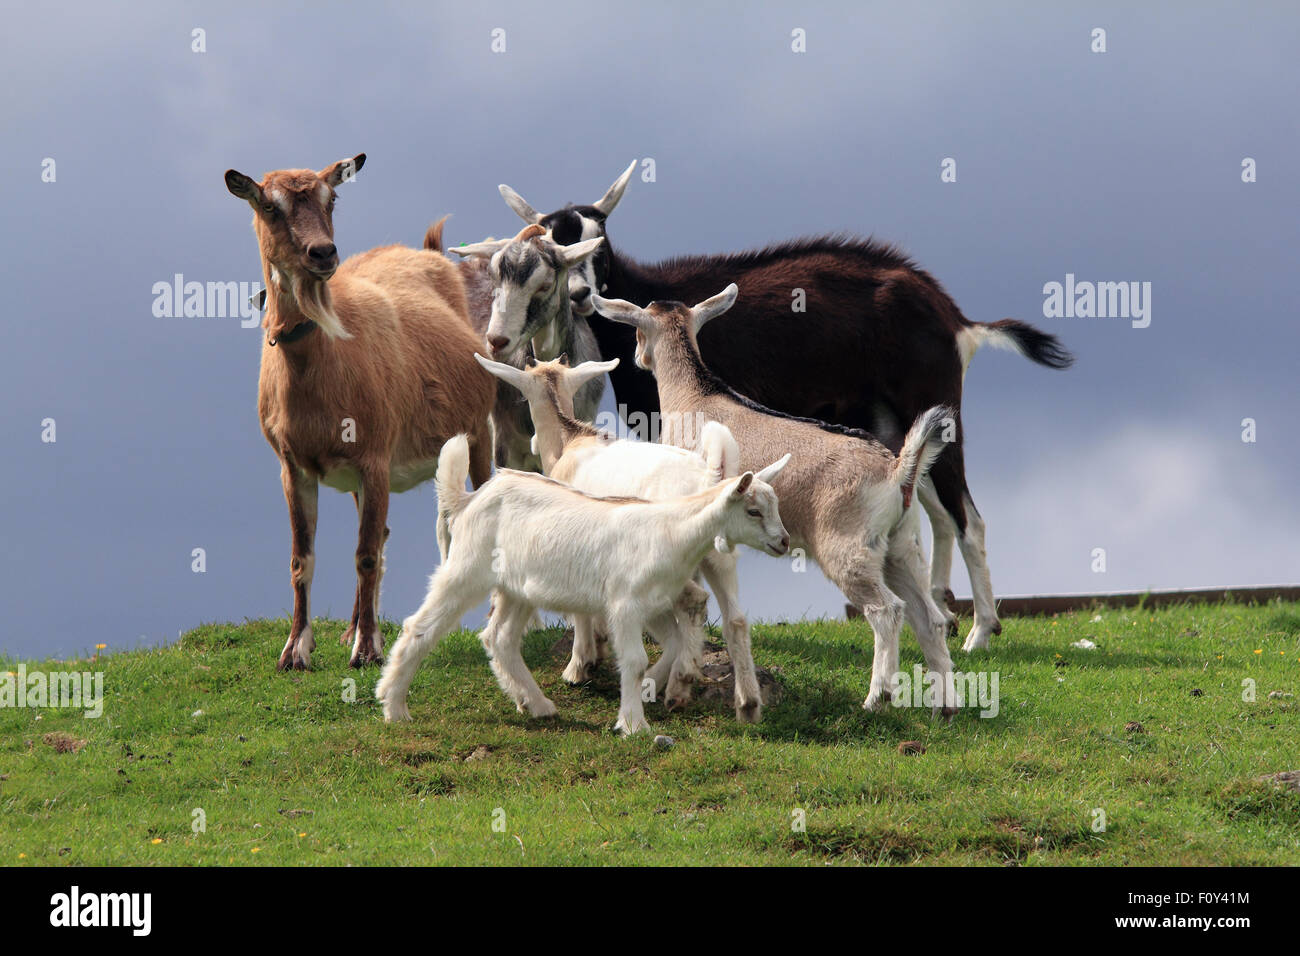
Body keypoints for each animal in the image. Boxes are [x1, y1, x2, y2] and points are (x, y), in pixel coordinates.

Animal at [223, 154, 495, 670]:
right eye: (269, 205)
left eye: (332, 198)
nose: (323, 253)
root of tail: (429, 252)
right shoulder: (293, 466)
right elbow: (301, 558)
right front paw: (296, 651)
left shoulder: (375, 456)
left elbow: (366, 553)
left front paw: (367, 650)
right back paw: (351, 625)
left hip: (477, 432)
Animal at [374, 434, 791, 735]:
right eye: (753, 511)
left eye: (774, 506)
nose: (784, 542)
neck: (669, 530)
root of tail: (468, 499)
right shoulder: (624, 603)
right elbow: (635, 660)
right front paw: (634, 725)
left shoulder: (654, 601)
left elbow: (668, 645)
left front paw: (659, 691)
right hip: (465, 570)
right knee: (420, 627)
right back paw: (394, 705)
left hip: (517, 588)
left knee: (499, 639)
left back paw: (537, 705)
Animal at [478, 354, 772, 721]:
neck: (570, 441)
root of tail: (709, 476)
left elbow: (581, 609)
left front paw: (580, 665)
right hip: (720, 556)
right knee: (735, 620)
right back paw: (747, 704)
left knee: (692, 606)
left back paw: (673, 684)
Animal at [500, 163, 1074, 651]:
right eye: (553, 247)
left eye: (600, 248)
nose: (581, 295)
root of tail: (956, 317)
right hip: (893, 429)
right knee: (934, 514)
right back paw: (945, 615)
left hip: (936, 405)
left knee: (968, 519)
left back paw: (982, 631)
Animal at [593, 284, 961, 715]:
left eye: (638, 331)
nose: (639, 357)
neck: (693, 399)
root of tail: (898, 470)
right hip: (901, 544)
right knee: (930, 618)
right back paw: (946, 708)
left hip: (848, 547)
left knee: (887, 611)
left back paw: (876, 699)